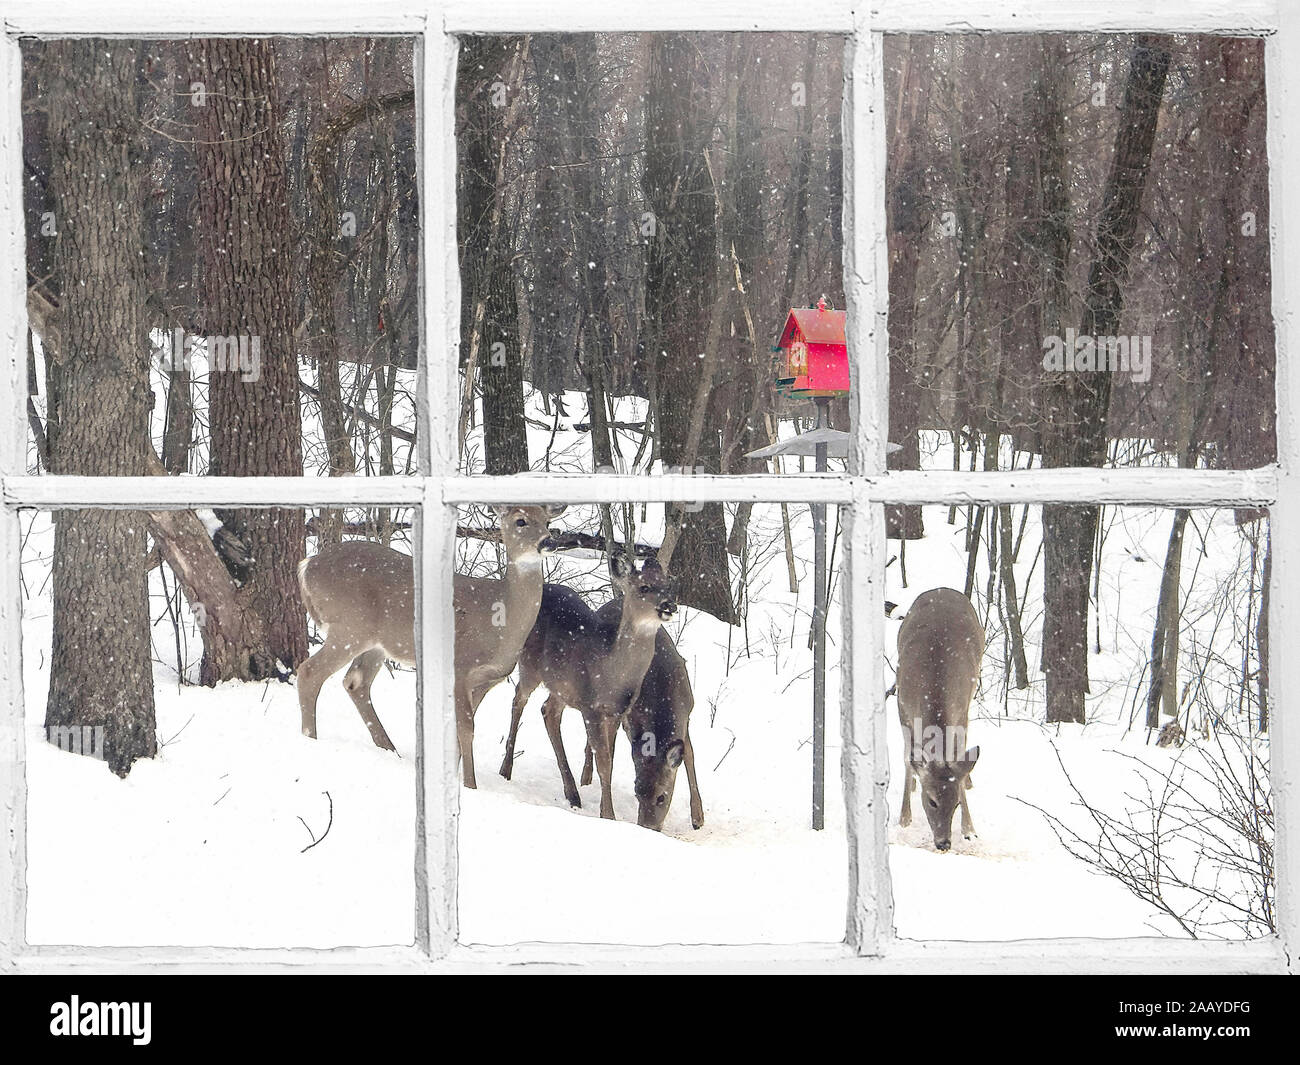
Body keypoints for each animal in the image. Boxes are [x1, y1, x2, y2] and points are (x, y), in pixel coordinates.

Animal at [296, 504, 566, 790]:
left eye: (547, 522)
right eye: (520, 521)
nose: (548, 542)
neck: (501, 624)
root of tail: (308, 565)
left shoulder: (487, 680)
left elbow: (461, 730)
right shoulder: (460, 667)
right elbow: (466, 728)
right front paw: (470, 785)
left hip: (376, 643)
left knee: (355, 683)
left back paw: (390, 750)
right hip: (350, 627)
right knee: (310, 672)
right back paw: (310, 738)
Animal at [497, 555, 676, 821]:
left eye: (668, 585)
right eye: (644, 587)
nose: (669, 606)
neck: (614, 675)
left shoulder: (616, 712)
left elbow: (609, 760)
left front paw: (604, 810)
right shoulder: (590, 705)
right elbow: (603, 760)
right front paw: (609, 815)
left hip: (561, 685)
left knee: (548, 711)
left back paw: (572, 793)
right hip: (529, 665)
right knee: (519, 699)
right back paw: (506, 769)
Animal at [896, 587, 984, 852]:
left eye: (956, 804)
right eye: (932, 801)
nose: (944, 843)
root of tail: (942, 589)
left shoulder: (962, 711)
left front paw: (969, 829)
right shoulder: (902, 706)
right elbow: (908, 758)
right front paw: (903, 818)